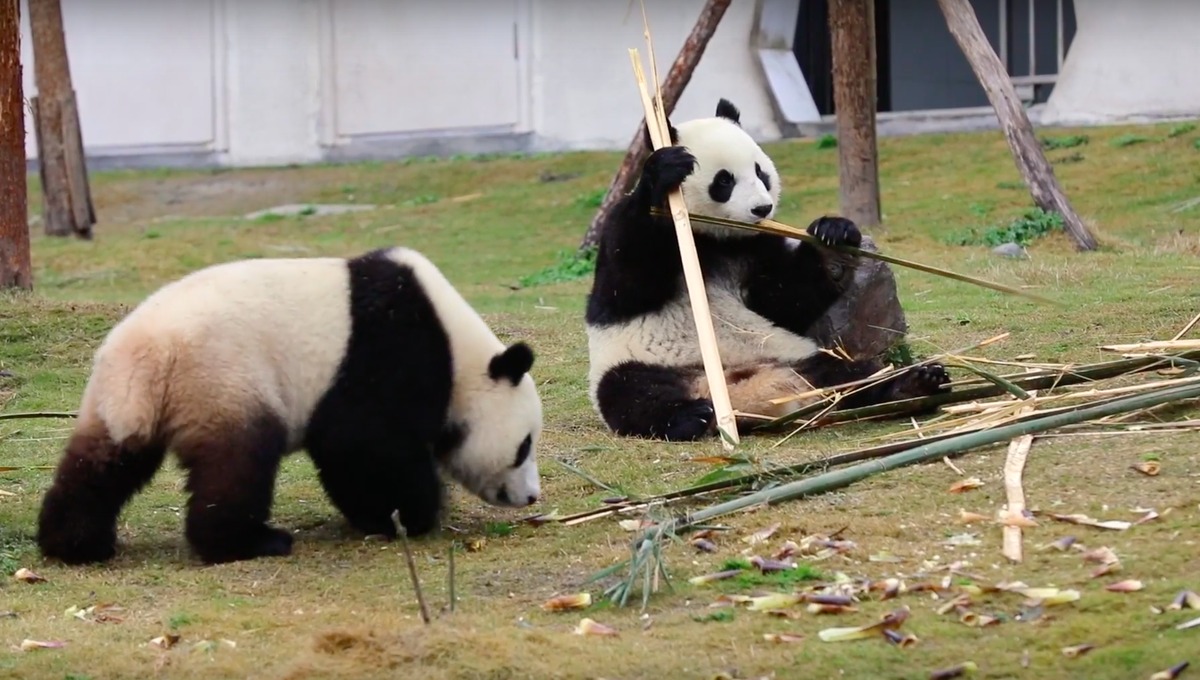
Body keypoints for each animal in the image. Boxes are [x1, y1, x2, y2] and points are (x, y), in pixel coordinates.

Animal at [36, 246, 544, 565]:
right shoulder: (388, 350)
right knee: (237, 463)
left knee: (103, 465)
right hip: (224, 380)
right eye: (524, 447)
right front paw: (413, 513)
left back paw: (75, 543)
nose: (531, 496)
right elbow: (363, 445)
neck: (459, 354)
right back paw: (249, 542)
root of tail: (149, 354)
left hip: (117, 401)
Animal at [584, 98, 950, 441]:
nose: (762, 208)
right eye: (724, 180)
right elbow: (627, 282)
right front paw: (665, 169)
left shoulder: (757, 245)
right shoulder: (635, 233)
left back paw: (913, 385)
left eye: (761, 172)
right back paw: (689, 416)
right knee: (634, 393)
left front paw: (834, 235)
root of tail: (743, 392)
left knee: (850, 375)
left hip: (796, 357)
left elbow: (783, 299)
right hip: (638, 362)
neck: (715, 236)